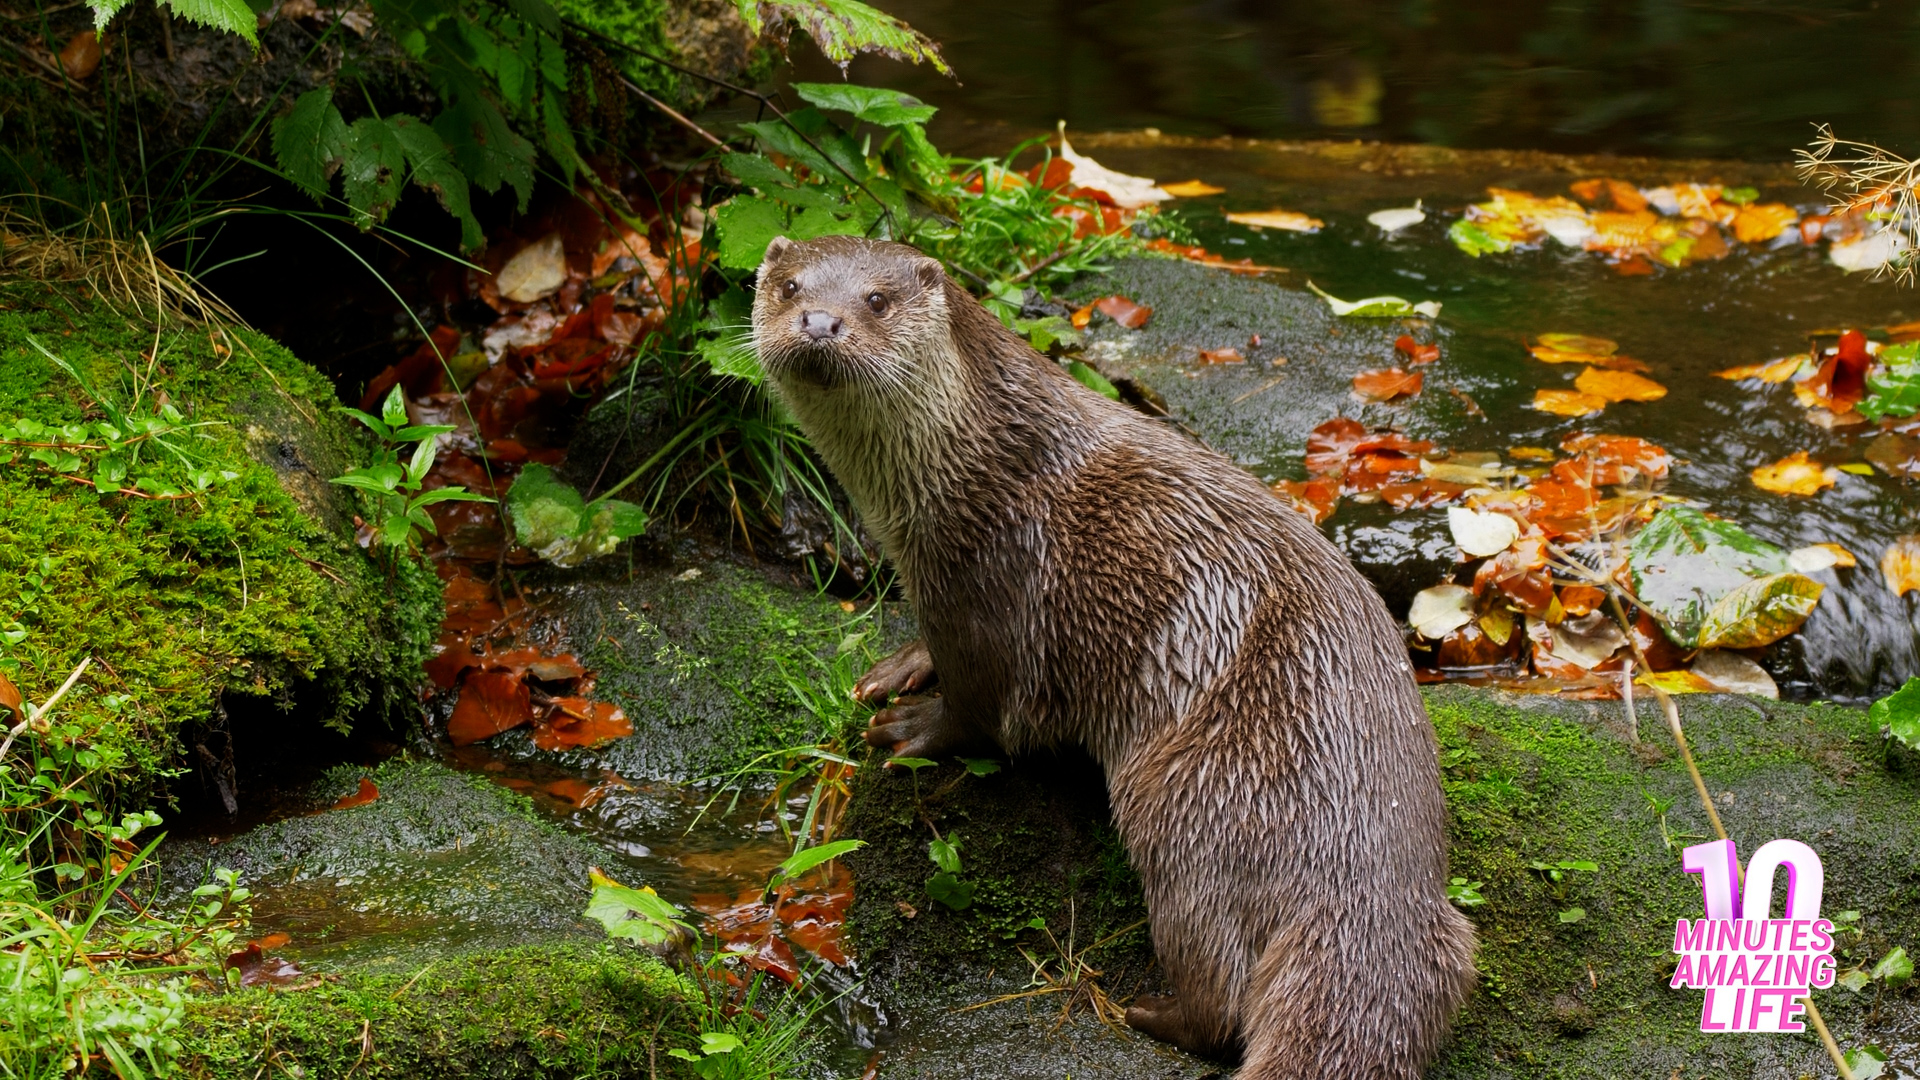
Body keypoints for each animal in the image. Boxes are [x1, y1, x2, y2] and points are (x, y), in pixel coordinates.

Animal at [751, 235, 1476, 1078]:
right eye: (790, 285)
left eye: (876, 300)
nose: (820, 321)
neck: (965, 467)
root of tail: (1366, 885)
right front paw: (898, 665)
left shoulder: (989, 579)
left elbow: (983, 708)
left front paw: (913, 728)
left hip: (1194, 803)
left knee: (1218, 987)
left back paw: (1147, 1011)